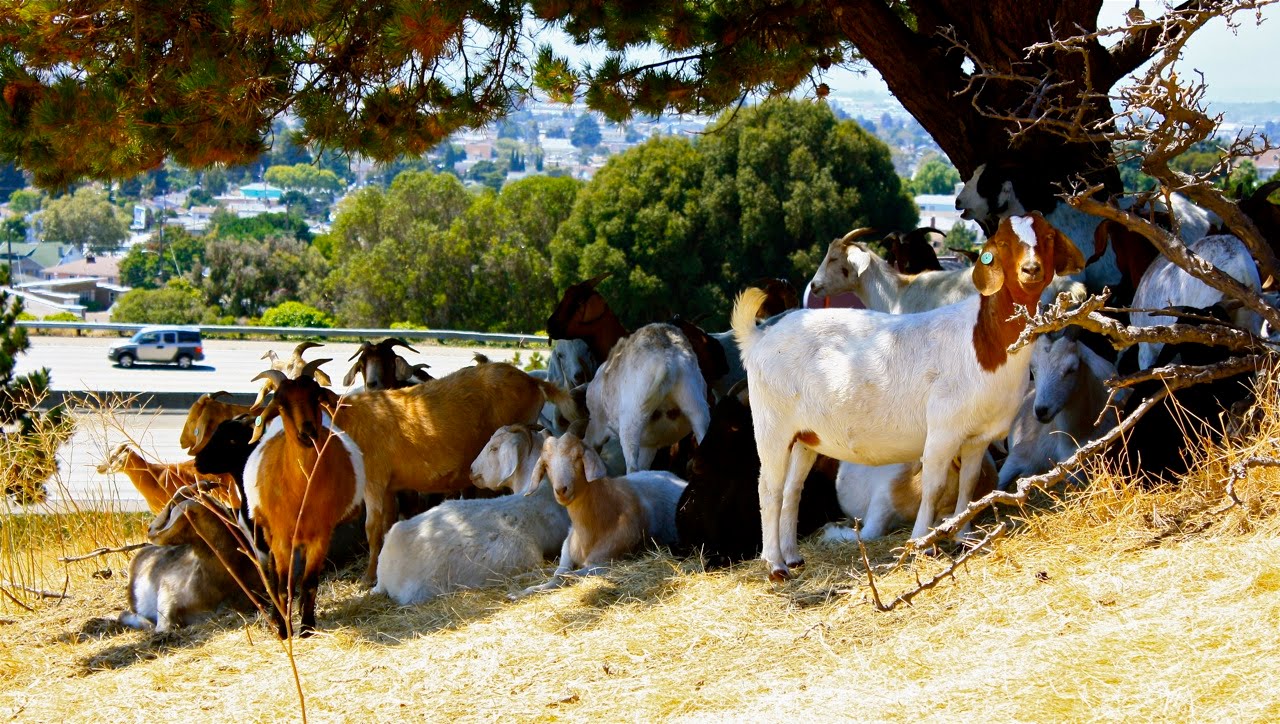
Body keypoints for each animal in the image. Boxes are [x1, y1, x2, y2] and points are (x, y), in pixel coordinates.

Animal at [242, 361, 365, 637]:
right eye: (280, 403)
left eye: (316, 395)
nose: (307, 432)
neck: (303, 489)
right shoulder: (281, 535)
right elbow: (281, 584)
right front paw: (284, 629)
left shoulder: (321, 534)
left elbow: (309, 582)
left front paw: (307, 626)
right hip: (269, 531)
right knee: (274, 572)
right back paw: (278, 617)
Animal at [517, 433, 686, 596]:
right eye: (546, 465)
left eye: (577, 457)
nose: (561, 490)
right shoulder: (566, 552)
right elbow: (559, 574)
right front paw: (522, 591)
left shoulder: (604, 564)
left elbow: (567, 576)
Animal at [582, 323, 710, 473]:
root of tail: (667, 359)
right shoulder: (649, 445)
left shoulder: (596, 426)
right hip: (696, 408)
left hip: (631, 420)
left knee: (632, 466)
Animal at [733, 212, 1085, 580]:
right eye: (1002, 243)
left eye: (1048, 237)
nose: (1031, 269)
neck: (983, 341)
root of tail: (759, 337)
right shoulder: (943, 430)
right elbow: (933, 485)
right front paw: (922, 543)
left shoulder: (978, 436)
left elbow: (969, 483)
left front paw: (962, 535)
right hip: (772, 426)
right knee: (769, 489)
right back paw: (775, 565)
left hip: (805, 436)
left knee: (792, 489)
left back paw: (792, 557)